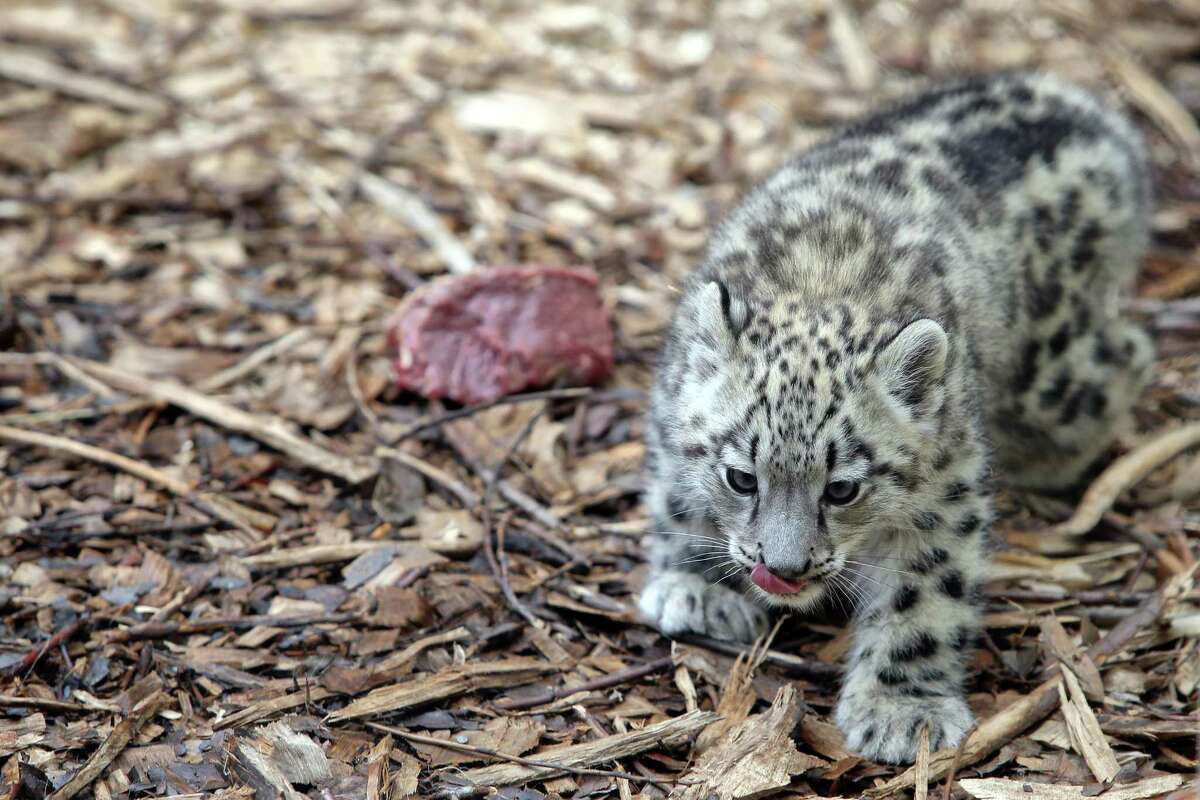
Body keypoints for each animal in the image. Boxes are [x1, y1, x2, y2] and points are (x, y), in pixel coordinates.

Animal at [637, 71, 1154, 764]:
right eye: (741, 478)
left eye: (842, 488)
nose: (784, 568)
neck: (819, 283)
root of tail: (1095, 113)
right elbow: (676, 494)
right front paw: (697, 588)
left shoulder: (943, 499)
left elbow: (924, 598)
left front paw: (903, 710)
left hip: (1055, 381)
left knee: (1127, 357)